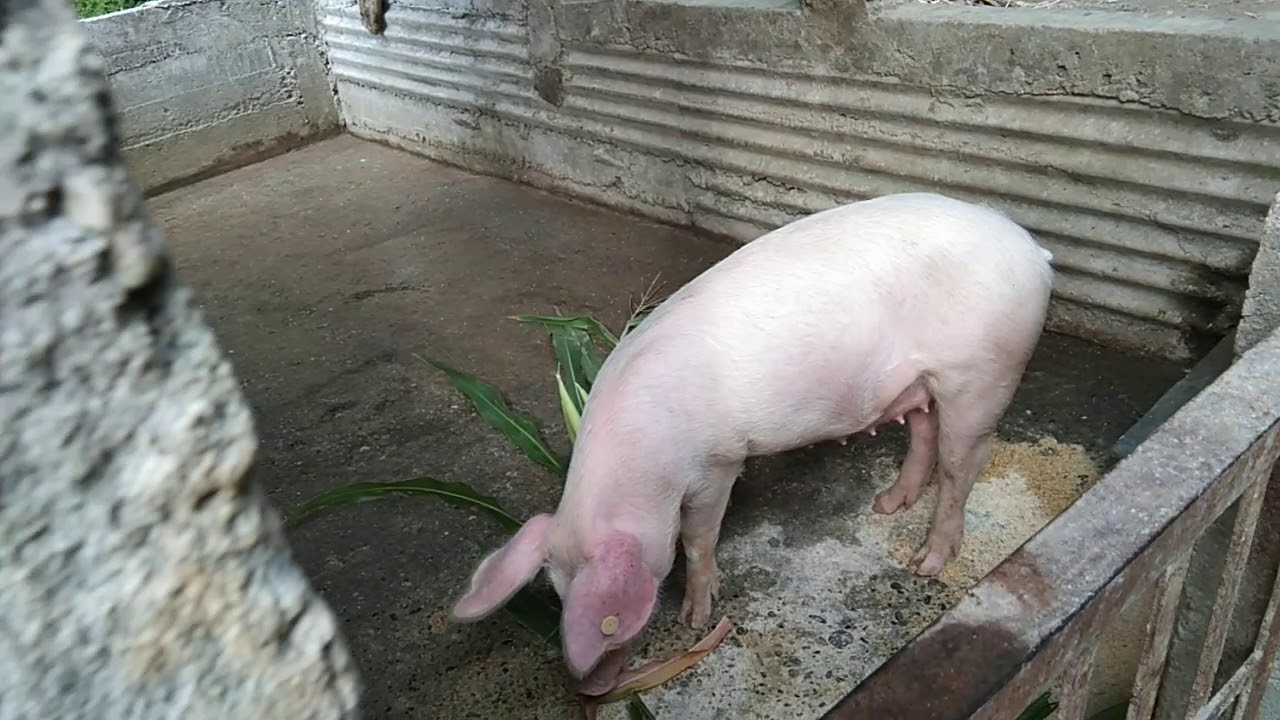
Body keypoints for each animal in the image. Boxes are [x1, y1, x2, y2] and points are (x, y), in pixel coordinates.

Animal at [450, 192, 1054, 696]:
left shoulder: (717, 463)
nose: (589, 689)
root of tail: (1034, 250)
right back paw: (885, 506)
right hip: (923, 383)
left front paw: (696, 619)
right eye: (553, 593)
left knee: (962, 464)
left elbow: (697, 537)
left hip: (985, 373)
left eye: (614, 622)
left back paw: (925, 563)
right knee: (924, 432)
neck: (646, 463)